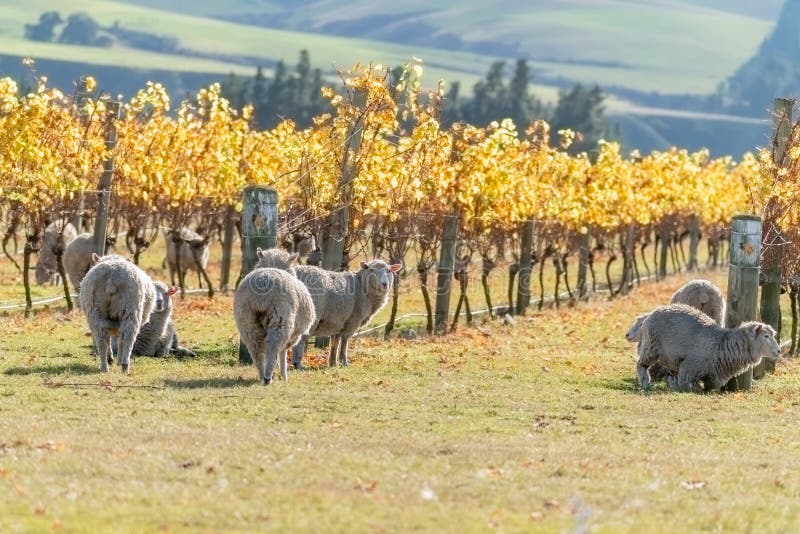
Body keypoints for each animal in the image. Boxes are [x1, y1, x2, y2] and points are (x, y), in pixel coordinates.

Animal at [254, 248, 402, 368]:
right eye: (371, 270)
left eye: (389, 271)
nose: (385, 284)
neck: (362, 287)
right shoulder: (352, 320)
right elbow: (344, 342)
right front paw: (344, 362)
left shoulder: (338, 321)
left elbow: (335, 342)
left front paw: (332, 362)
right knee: (301, 338)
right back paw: (297, 364)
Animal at [636, 304, 781, 393]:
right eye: (766, 336)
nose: (779, 351)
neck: (722, 344)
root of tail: (652, 313)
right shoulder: (689, 369)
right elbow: (693, 387)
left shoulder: (714, 376)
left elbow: (707, 387)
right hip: (651, 347)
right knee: (641, 365)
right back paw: (646, 383)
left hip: (669, 356)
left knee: (670, 374)